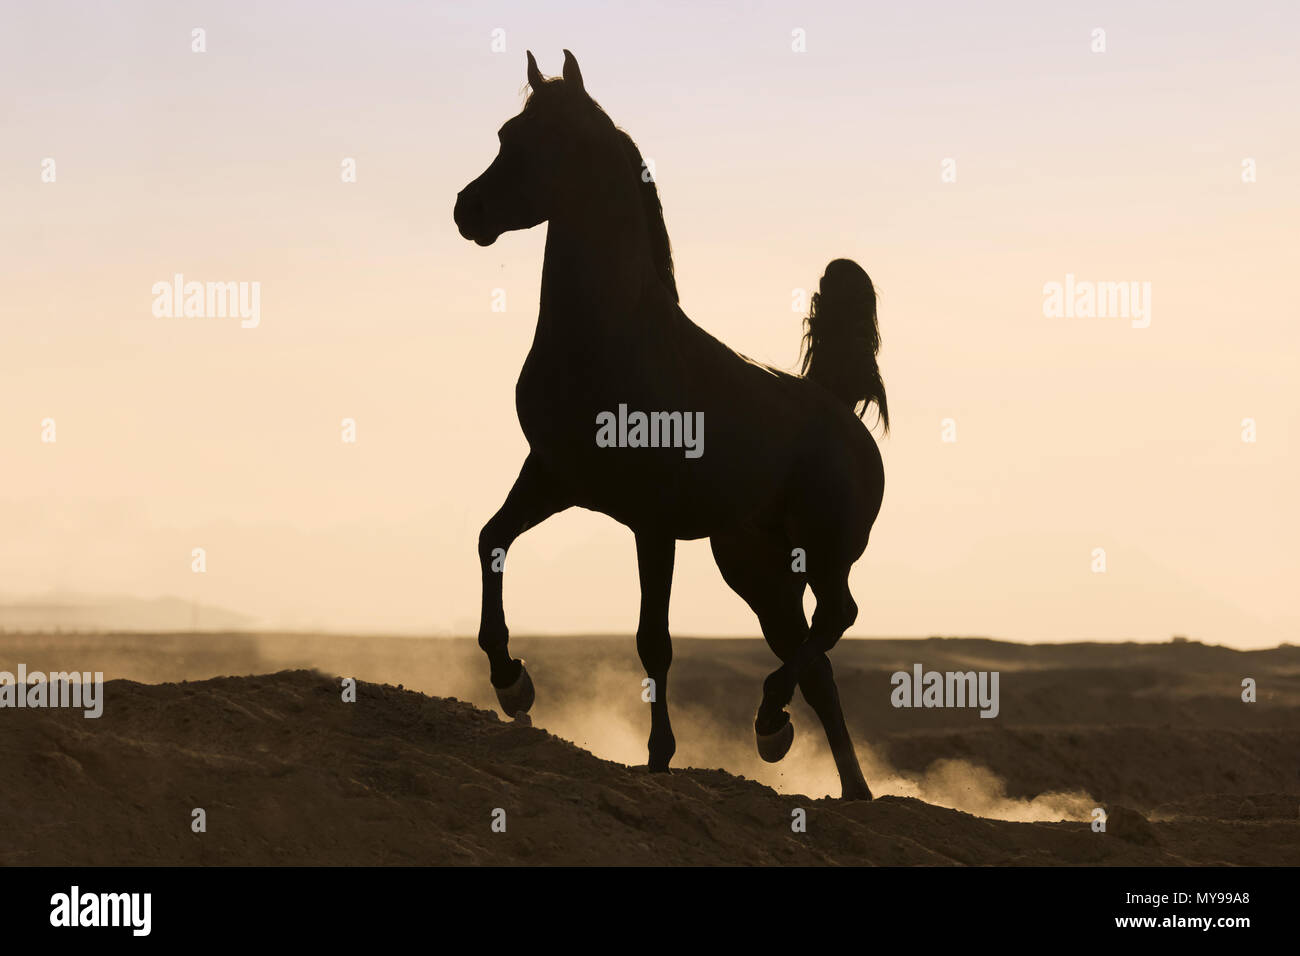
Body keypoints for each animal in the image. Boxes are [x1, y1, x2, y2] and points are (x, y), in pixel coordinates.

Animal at [454, 50, 888, 800]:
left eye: (539, 140)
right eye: (507, 133)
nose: (466, 209)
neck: (608, 340)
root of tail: (837, 408)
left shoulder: (652, 521)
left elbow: (652, 639)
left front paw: (659, 757)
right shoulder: (552, 478)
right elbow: (491, 542)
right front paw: (512, 684)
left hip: (823, 551)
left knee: (837, 619)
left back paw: (771, 724)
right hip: (756, 567)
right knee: (817, 662)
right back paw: (836, 778)